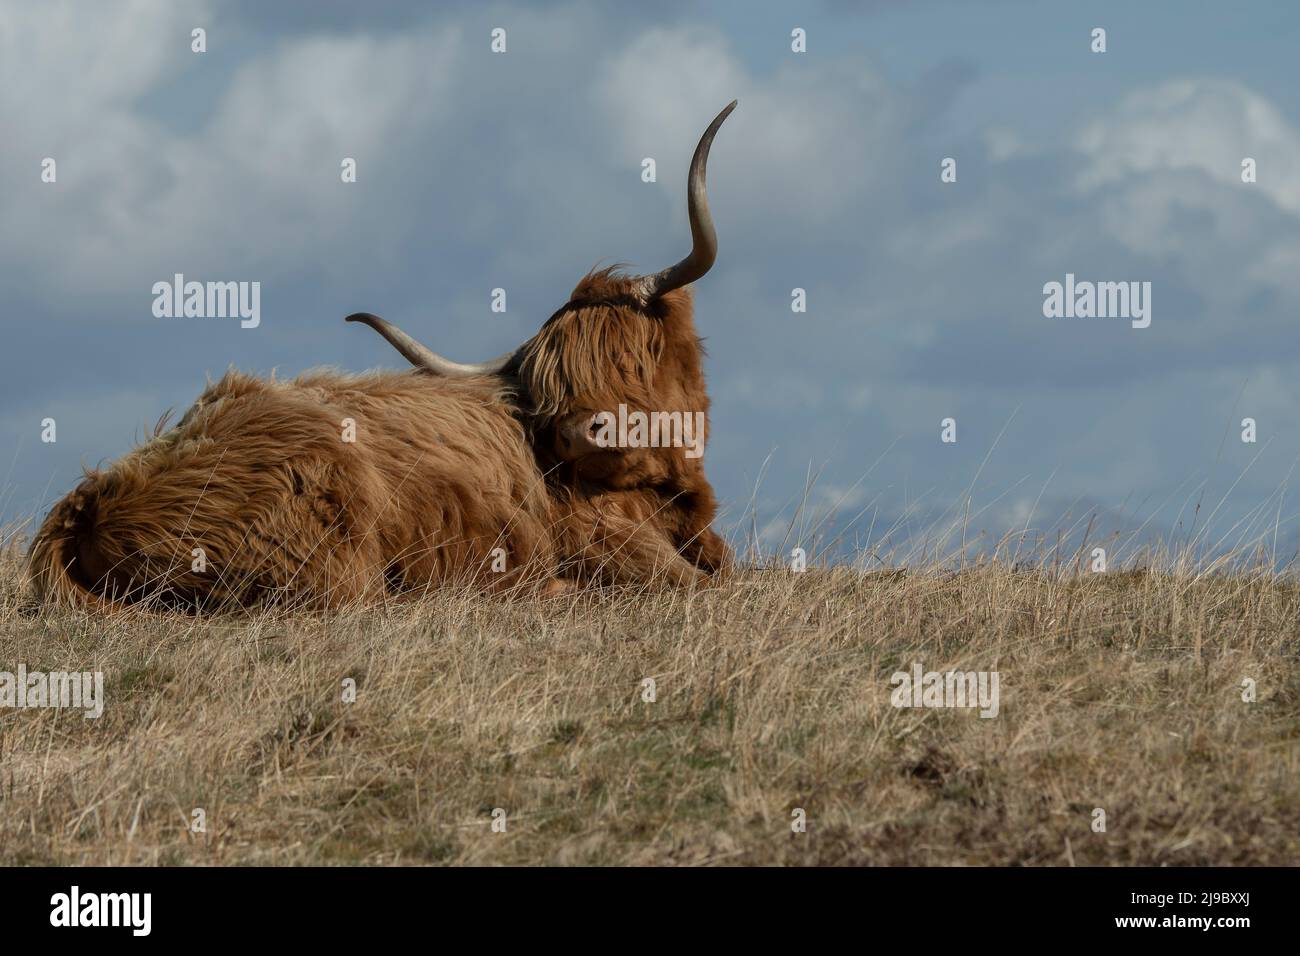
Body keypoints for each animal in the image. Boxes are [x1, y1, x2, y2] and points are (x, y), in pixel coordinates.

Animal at [28, 102, 737, 610]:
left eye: (635, 358)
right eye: (552, 385)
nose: (581, 433)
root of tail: (87, 504)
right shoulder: (611, 540)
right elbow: (699, 582)